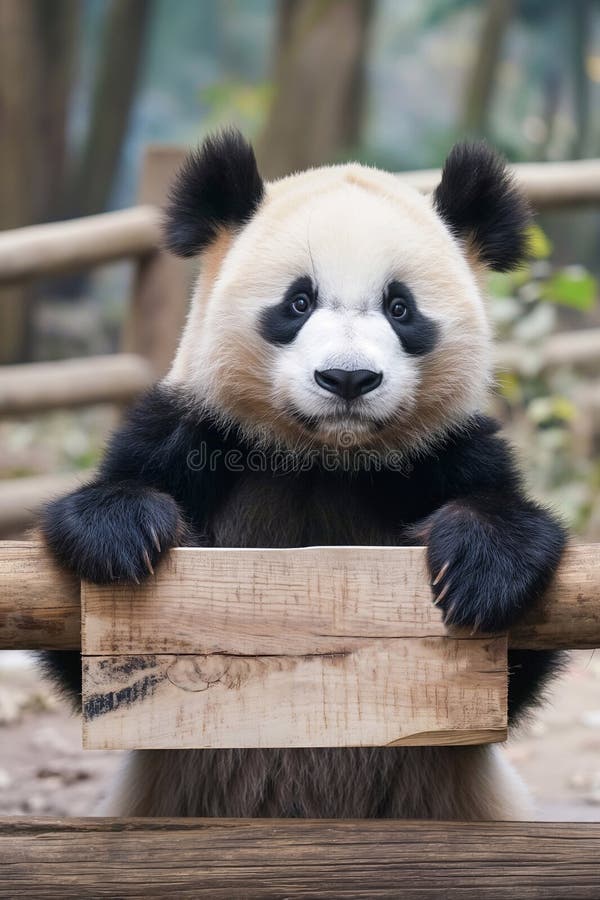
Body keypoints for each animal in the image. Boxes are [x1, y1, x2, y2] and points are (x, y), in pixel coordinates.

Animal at [39, 130, 566, 819]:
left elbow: (516, 662)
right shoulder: (195, 432)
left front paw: (480, 563)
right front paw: (123, 535)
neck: (323, 457)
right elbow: (81, 648)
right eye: (298, 301)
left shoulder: (449, 454)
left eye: (401, 308)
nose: (347, 378)